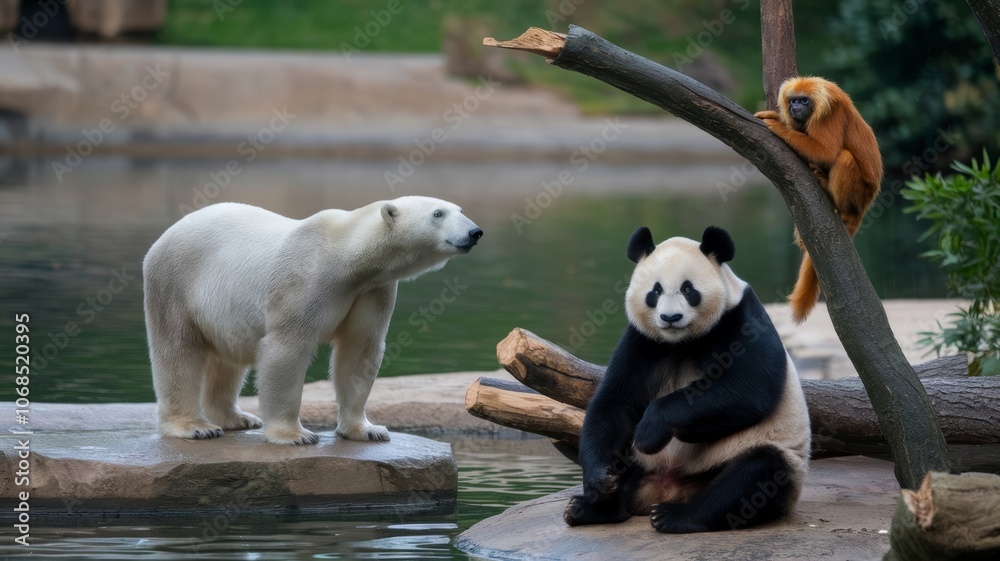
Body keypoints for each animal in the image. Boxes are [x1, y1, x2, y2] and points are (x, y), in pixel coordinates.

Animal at [143, 196, 483, 445]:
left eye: (460, 210)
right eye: (438, 213)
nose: (474, 232)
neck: (347, 252)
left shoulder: (372, 290)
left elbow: (359, 350)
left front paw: (367, 429)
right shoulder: (306, 280)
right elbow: (287, 349)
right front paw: (295, 435)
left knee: (226, 360)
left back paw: (236, 418)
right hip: (176, 283)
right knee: (178, 351)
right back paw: (195, 426)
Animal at [564, 225, 810, 533]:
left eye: (688, 289)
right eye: (655, 291)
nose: (671, 317)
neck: (681, 342)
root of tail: (664, 489)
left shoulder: (741, 320)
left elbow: (747, 390)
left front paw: (648, 432)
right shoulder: (642, 341)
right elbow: (615, 401)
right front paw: (599, 480)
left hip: (769, 456)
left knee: (754, 476)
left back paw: (675, 516)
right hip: (645, 466)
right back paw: (592, 508)